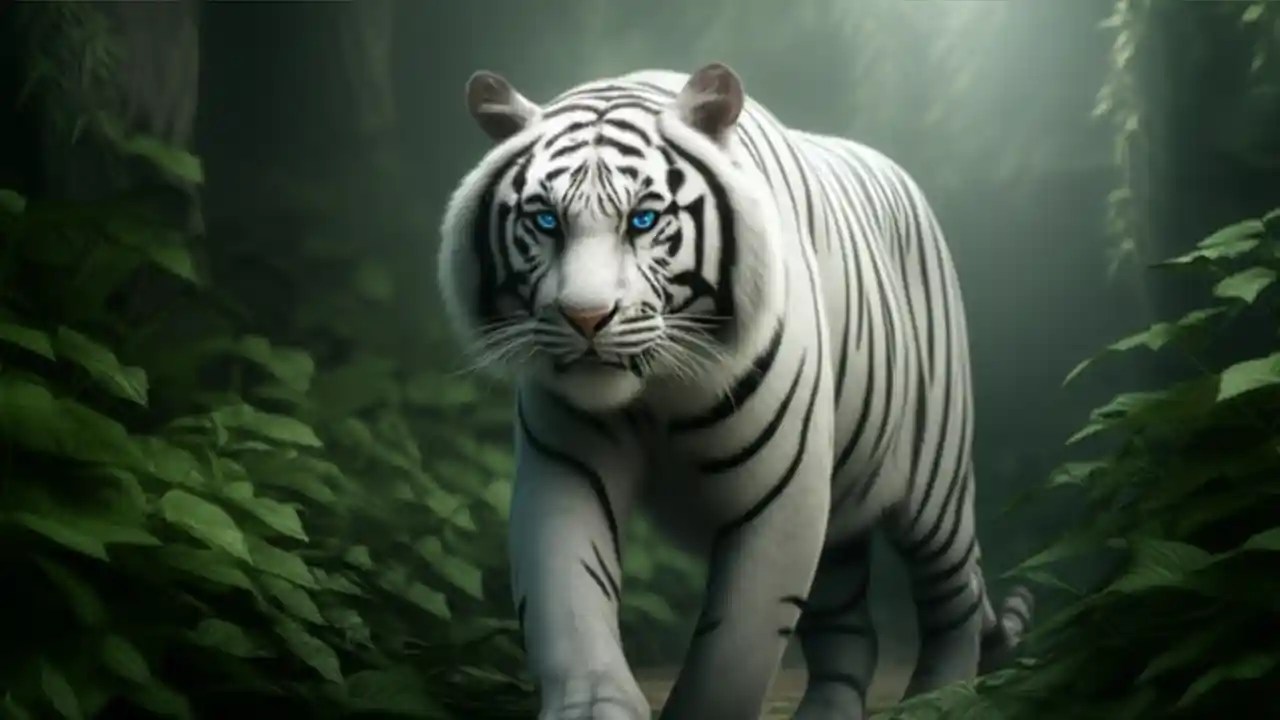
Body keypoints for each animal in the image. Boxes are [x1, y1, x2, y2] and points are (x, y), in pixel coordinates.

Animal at [436, 63, 1033, 720]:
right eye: (545, 221)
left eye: (643, 220)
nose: (585, 318)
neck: (655, 393)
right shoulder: (566, 466)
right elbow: (569, 601)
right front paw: (594, 705)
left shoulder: (782, 494)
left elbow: (738, 641)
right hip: (841, 521)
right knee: (849, 633)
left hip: (935, 486)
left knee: (953, 596)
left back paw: (937, 699)